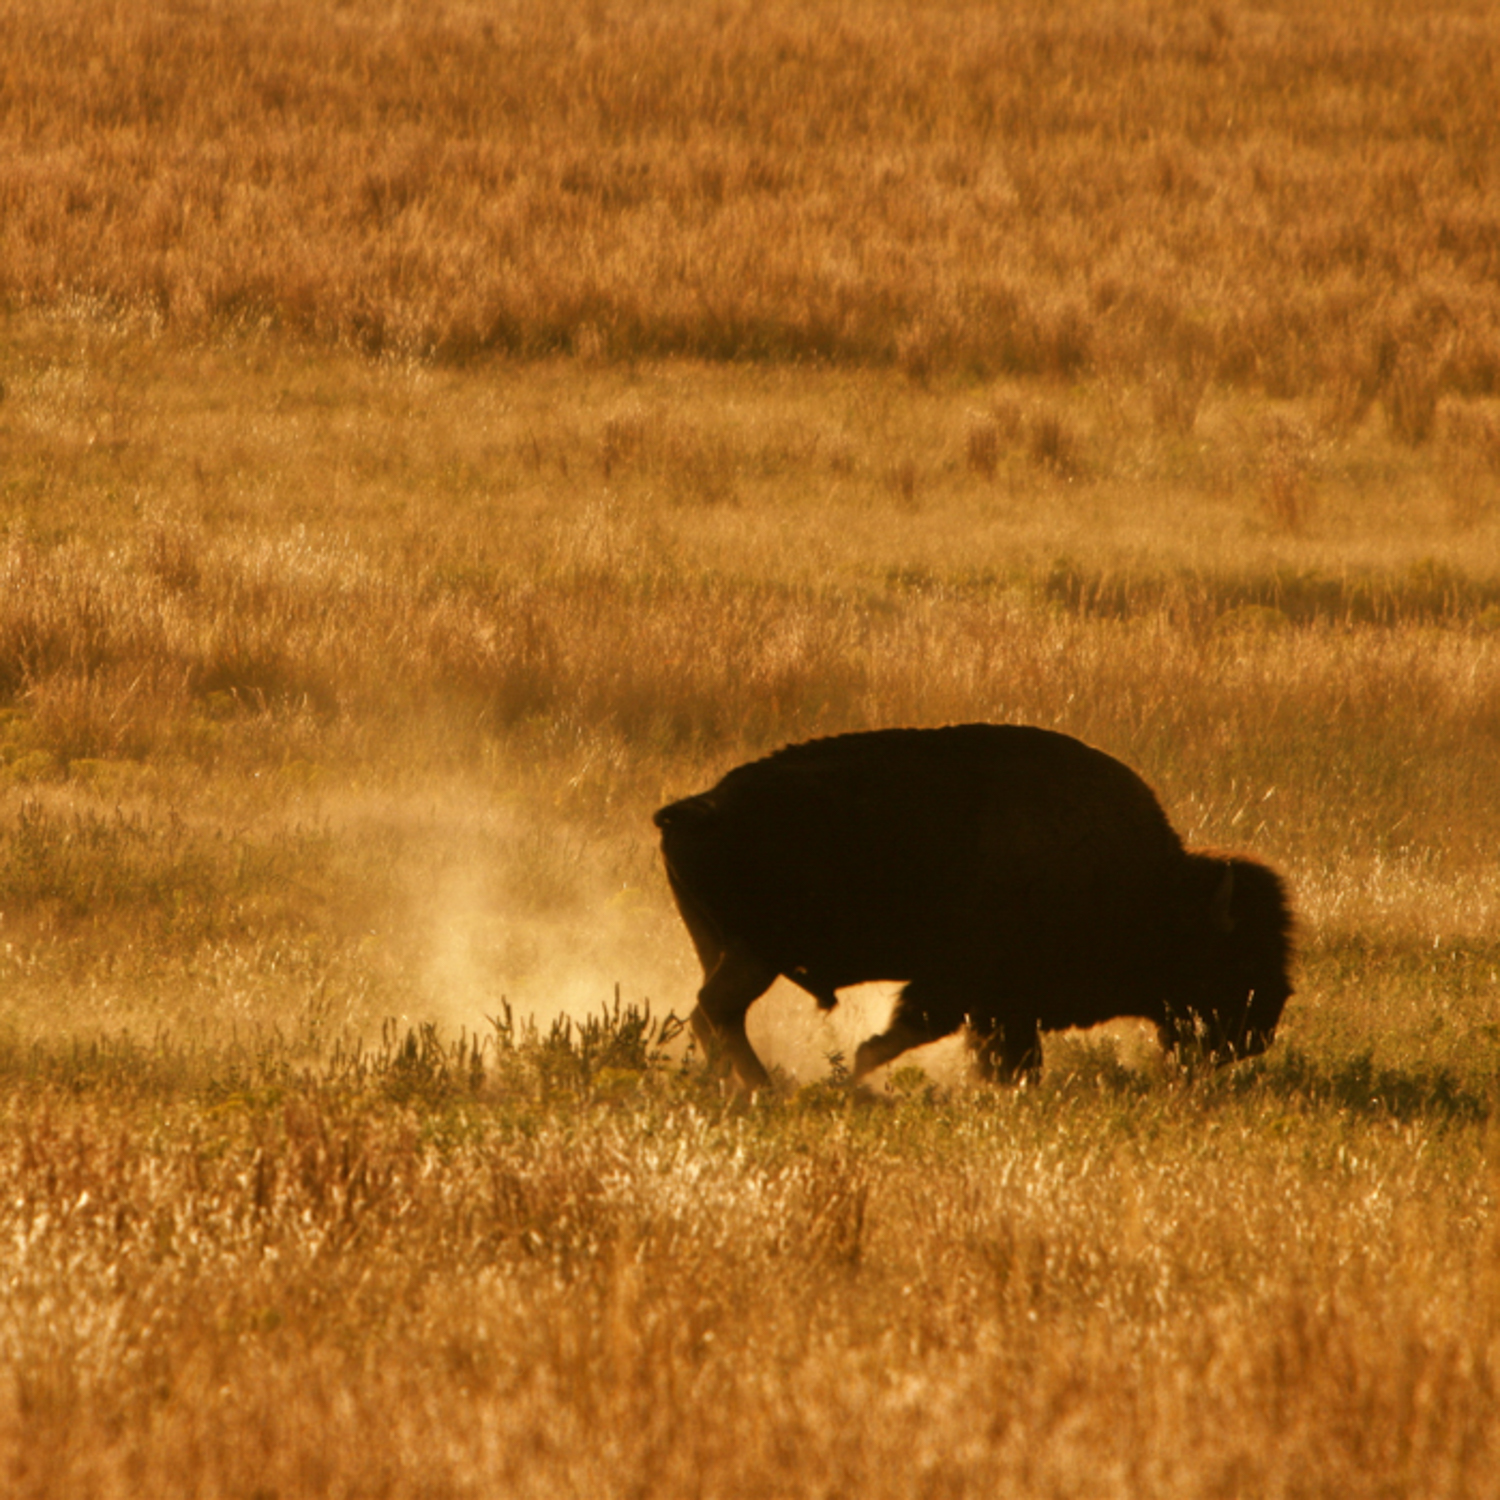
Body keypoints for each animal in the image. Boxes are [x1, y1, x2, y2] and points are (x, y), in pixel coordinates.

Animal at [655, 724, 1293, 1092]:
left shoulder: (993, 1006)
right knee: (715, 1015)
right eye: (1232, 958)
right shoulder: (973, 994)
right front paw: (860, 1076)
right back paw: (761, 1089)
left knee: (714, 1017)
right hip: (754, 955)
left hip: (725, 950)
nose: (1257, 1033)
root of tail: (693, 809)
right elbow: (910, 1036)